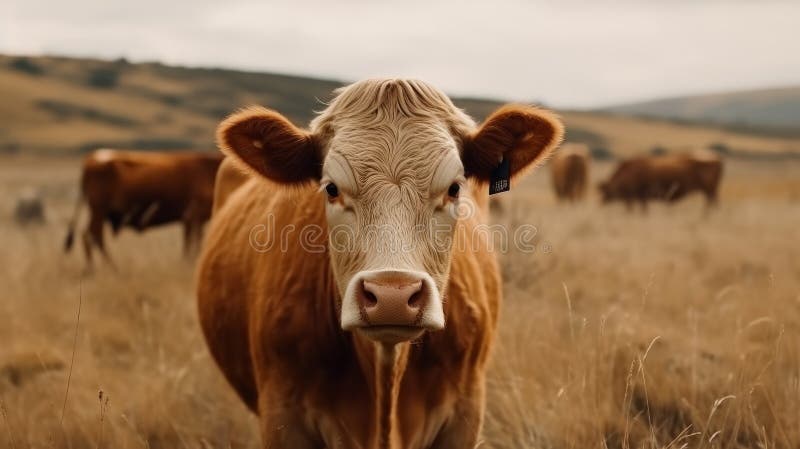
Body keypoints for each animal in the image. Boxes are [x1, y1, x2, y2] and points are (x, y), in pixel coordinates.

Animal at [64, 149, 223, 269]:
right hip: (99, 211)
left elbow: (191, 242)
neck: (211, 169)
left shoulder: (191, 219)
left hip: (98, 212)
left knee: (90, 235)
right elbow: (193, 243)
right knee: (93, 235)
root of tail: (92, 158)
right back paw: (109, 268)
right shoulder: (193, 216)